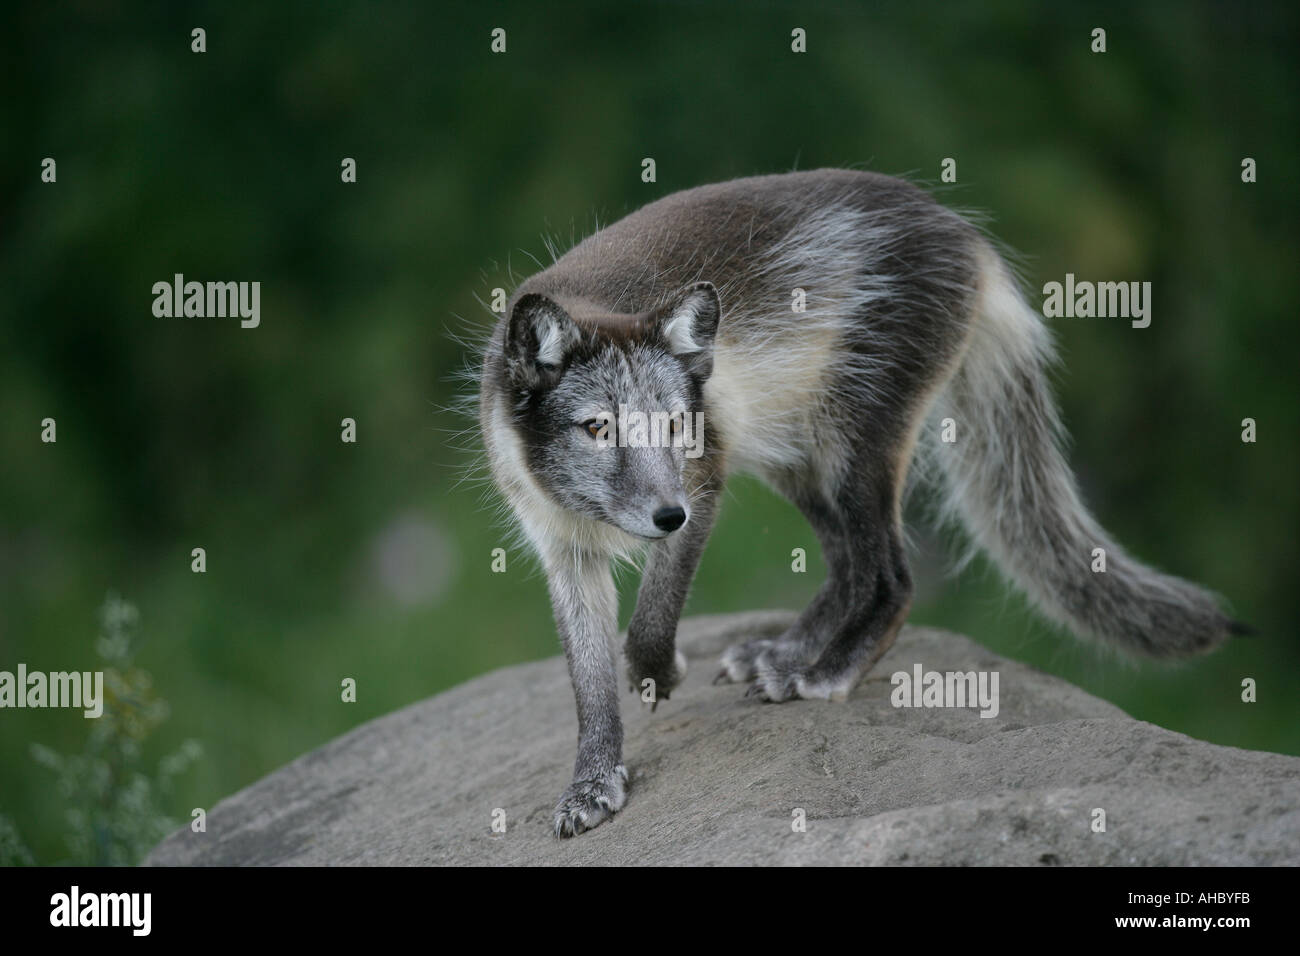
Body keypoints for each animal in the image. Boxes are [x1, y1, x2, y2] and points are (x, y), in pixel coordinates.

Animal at [476, 168, 1242, 837]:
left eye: (674, 427)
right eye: (598, 428)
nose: (668, 517)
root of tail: (961, 230)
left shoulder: (705, 479)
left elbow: (647, 629)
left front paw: (659, 676)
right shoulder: (561, 548)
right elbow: (587, 683)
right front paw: (593, 784)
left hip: (853, 448)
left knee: (891, 579)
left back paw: (816, 677)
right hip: (799, 460)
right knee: (850, 564)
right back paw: (788, 653)